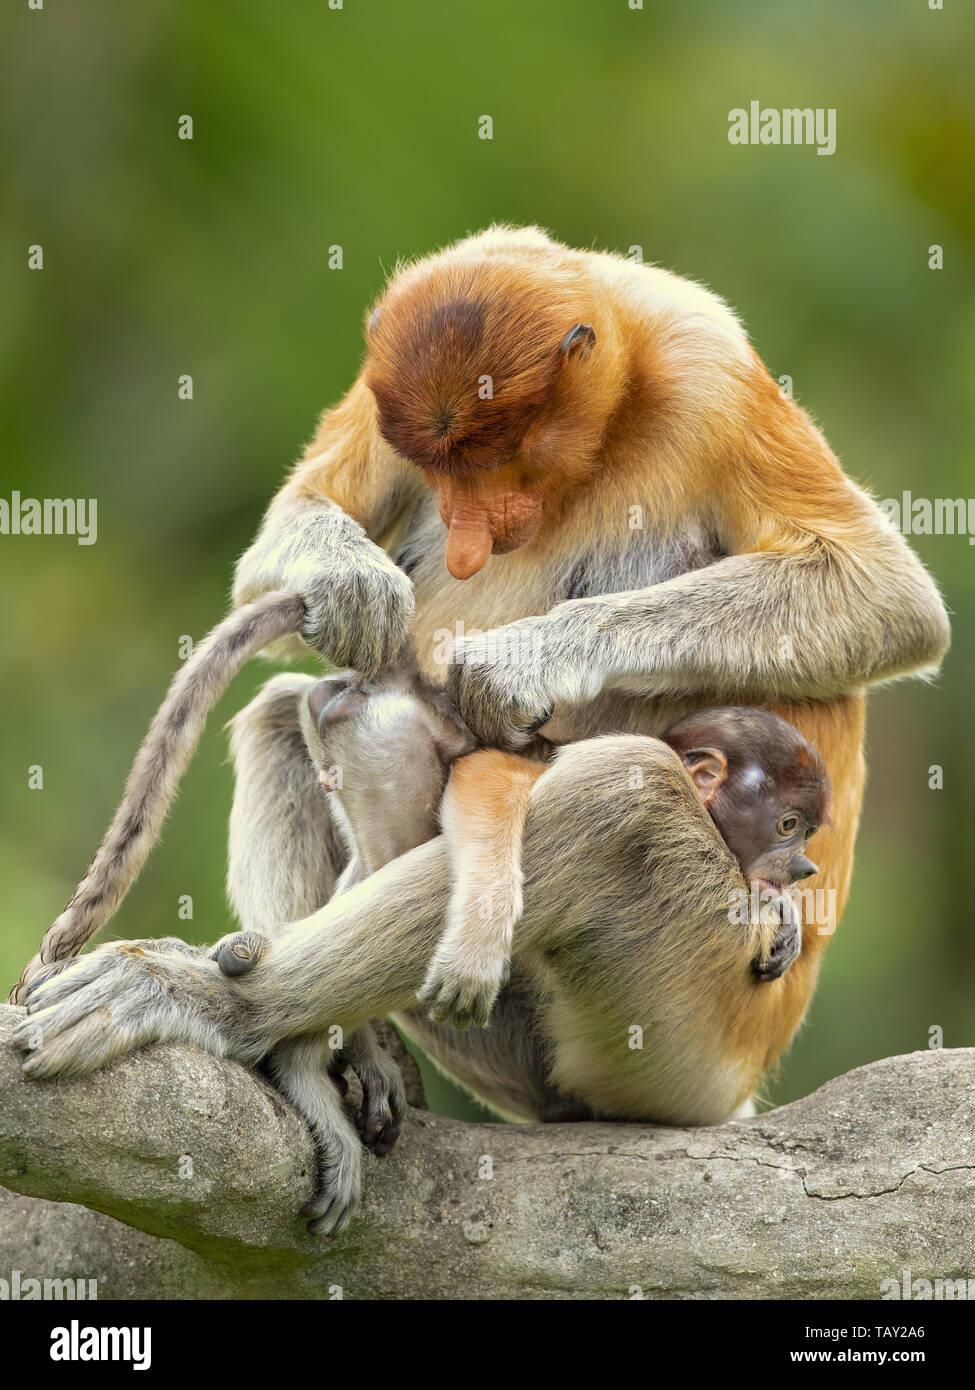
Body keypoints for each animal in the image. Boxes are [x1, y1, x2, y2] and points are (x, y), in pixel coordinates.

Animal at [14, 225, 950, 1237]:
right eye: (439, 469)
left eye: (495, 459)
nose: (465, 544)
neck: (619, 405)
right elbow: (280, 540)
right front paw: (356, 585)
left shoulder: (710, 371)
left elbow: (885, 596)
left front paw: (523, 661)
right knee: (279, 718)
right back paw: (322, 1053)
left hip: (687, 1040)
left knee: (619, 800)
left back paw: (227, 1013)